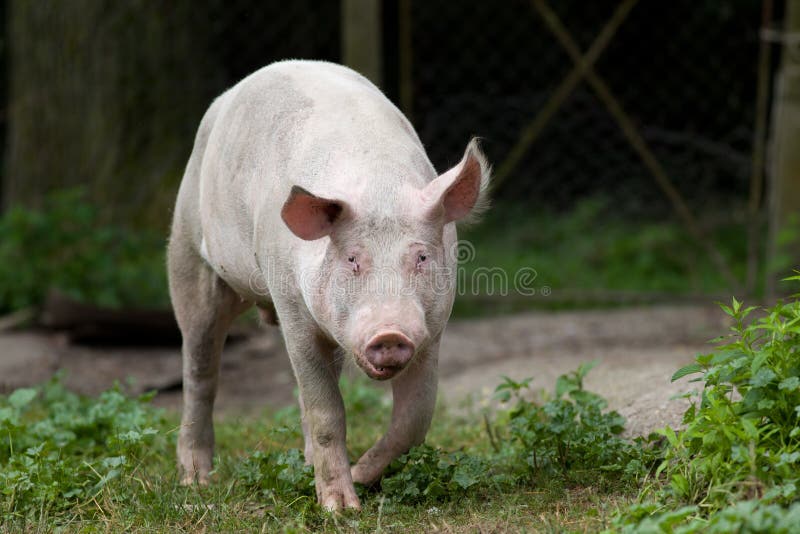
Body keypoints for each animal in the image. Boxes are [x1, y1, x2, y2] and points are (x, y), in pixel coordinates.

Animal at [167, 60, 490, 511]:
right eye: (352, 258)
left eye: (422, 258)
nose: (389, 333)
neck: (378, 187)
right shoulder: (293, 312)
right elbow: (327, 412)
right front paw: (341, 508)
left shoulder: (433, 328)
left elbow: (416, 418)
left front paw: (361, 477)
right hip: (187, 249)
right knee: (199, 369)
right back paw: (196, 482)